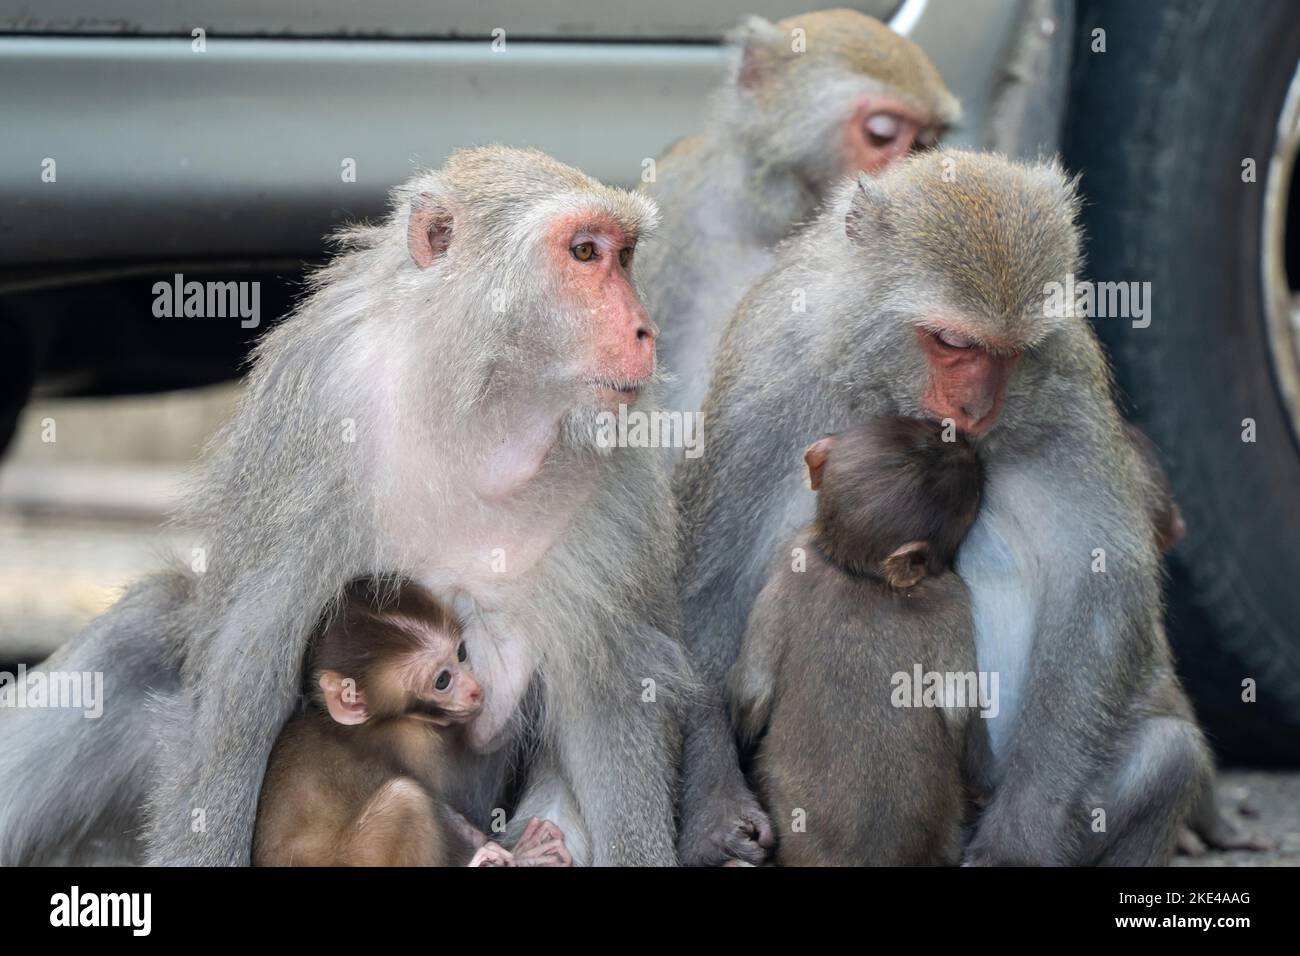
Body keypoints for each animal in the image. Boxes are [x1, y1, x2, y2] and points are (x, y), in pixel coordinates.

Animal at [253, 578, 571, 868]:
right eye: (442, 680)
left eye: (461, 653)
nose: (475, 691)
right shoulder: (412, 738)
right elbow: (473, 751)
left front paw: (523, 854)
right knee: (408, 800)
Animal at [730, 417, 986, 866]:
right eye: (967, 501)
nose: (971, 453)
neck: (859, 571)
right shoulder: (951, 596)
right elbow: (959, 707)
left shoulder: (794, 560)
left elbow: (752, 692)